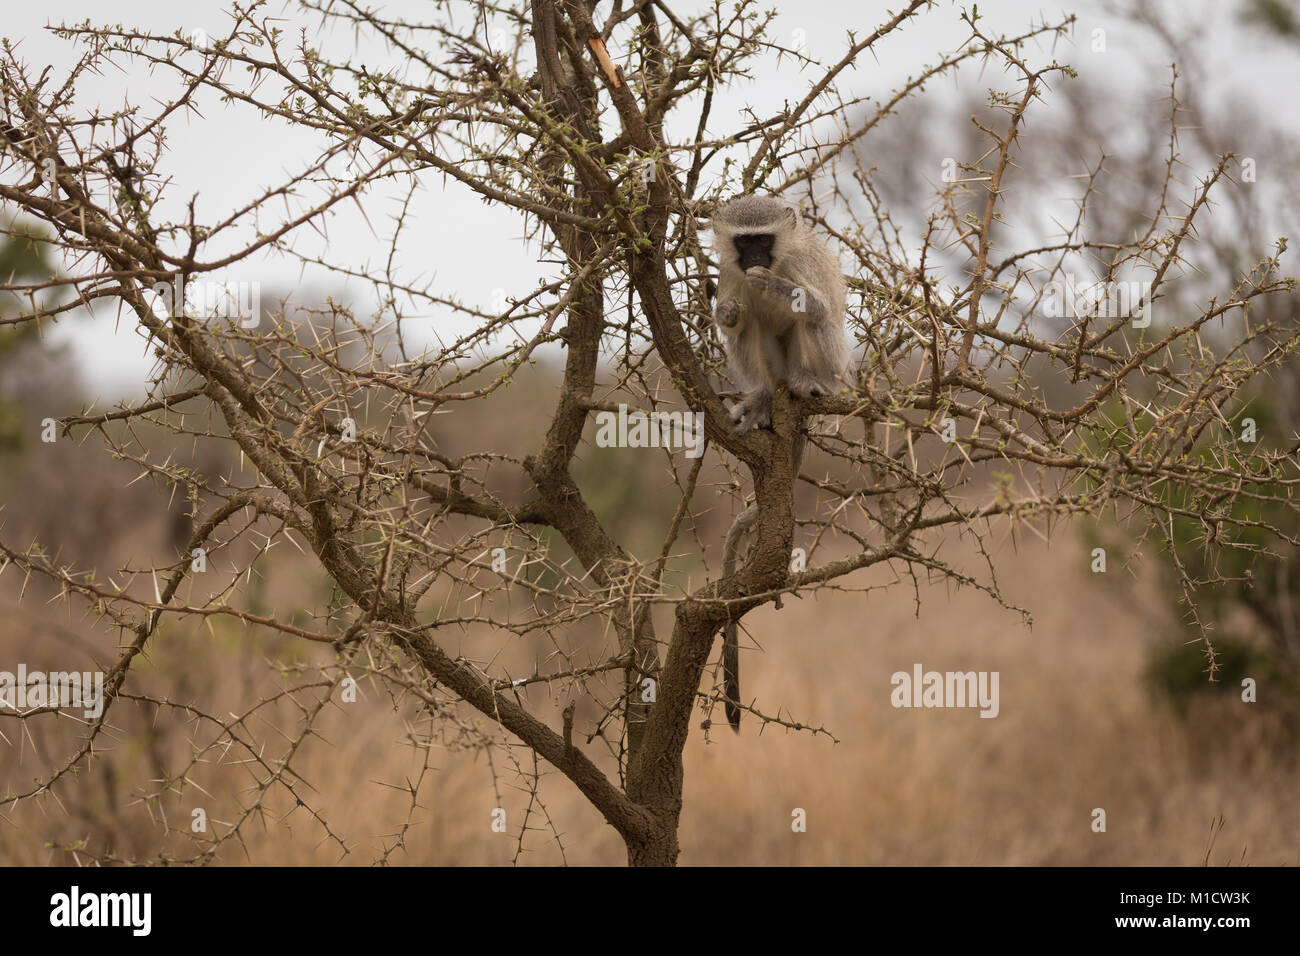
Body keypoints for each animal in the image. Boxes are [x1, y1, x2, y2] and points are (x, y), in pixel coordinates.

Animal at [708, 194, 850, 731]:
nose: (753, 260)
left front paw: (783, 289)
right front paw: (725, 310)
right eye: (743, 242)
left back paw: (811, 387)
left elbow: (821, 307)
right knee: (752, 332)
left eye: (764, 240)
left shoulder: (801, 265)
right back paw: (763, 401)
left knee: (816, 326)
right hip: (770, 370)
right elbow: (734, 317)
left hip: (825, 367)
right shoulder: (729, 276)